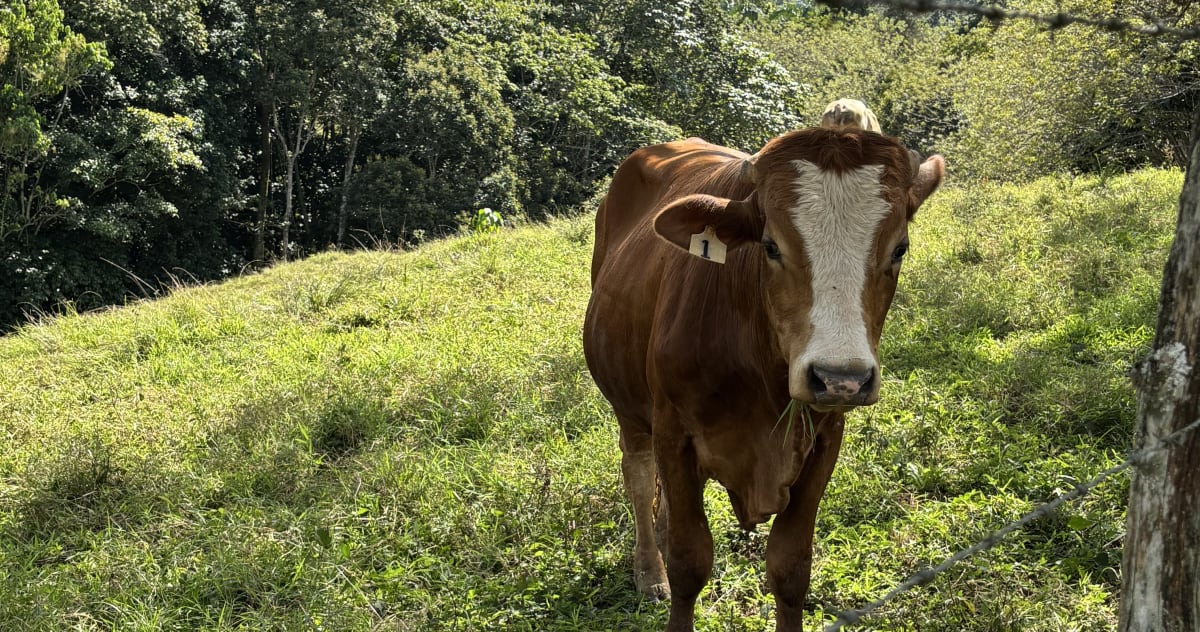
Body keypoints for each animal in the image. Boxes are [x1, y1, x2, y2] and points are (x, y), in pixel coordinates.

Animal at [581, 122, 944, 631]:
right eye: (771, 246)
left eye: (900, 248)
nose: (840, 377)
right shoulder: (673, 433)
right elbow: (689, 561)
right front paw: (668, 571)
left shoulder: (824, 440)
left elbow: (790, 568)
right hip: (628, 406)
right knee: (638, 475)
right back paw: (649, 568)